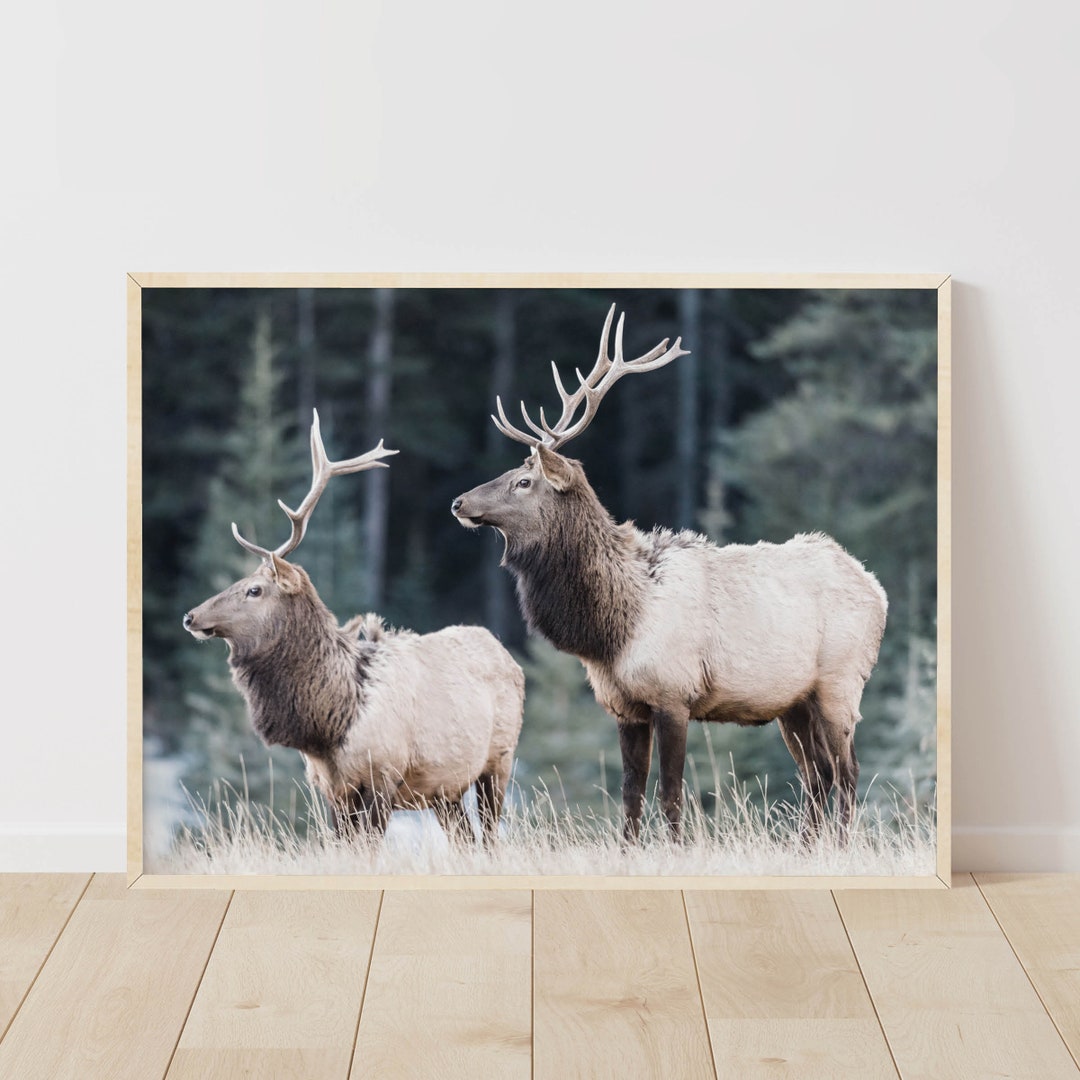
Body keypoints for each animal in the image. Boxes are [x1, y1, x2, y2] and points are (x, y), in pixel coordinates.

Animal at [184, 410, 525, 846]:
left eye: (254, 589)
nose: (191, 617)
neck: (329, 728)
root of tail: (506, 654)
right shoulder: (332, 790)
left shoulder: (382, 776)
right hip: (444, 790)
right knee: (466, 839)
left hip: (498, 761)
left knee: (491, 837)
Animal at [451, 305, 887, 843]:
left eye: (524, 481)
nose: (459, 503)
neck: (613, 629)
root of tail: (876, 588)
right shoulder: (625, 706)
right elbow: (630, 796)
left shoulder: (674, 693)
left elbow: (671, 794)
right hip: (794, 701)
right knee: (818, 774)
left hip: (840, 680)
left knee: (847, 772)